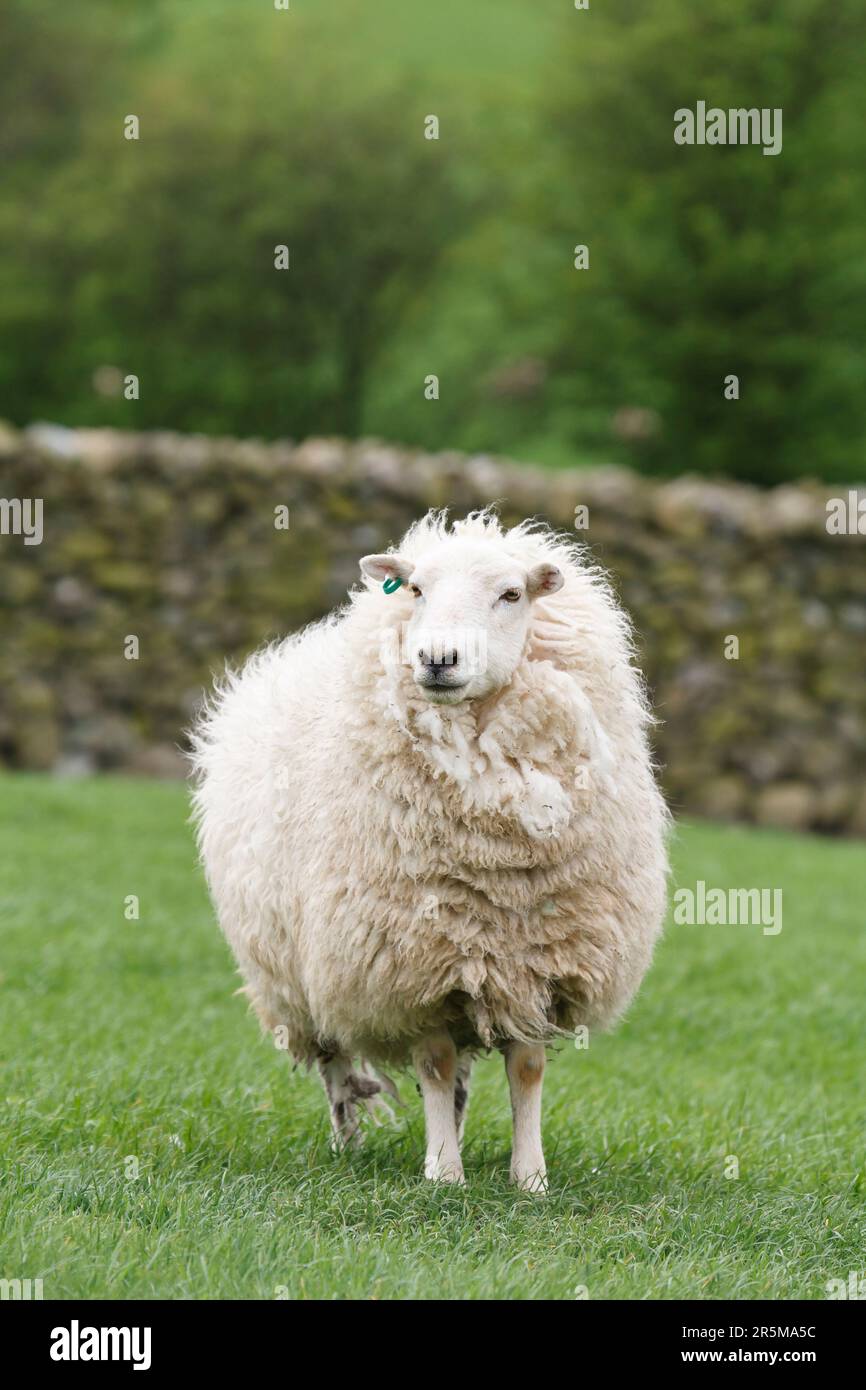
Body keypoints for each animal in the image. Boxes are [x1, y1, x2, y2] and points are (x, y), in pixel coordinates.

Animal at [191, 509, 669, 1191]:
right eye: (415, 589)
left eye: (512, 594)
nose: (438, 658)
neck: (500, 860)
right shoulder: (409, 965)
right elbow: (436, 1064)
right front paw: (443, 1175)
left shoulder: (535, 965)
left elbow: (525, 1069)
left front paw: (529, 1178)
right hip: (298, 975)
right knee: (336, 1065)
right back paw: (349, 1143)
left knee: (460, 1075)